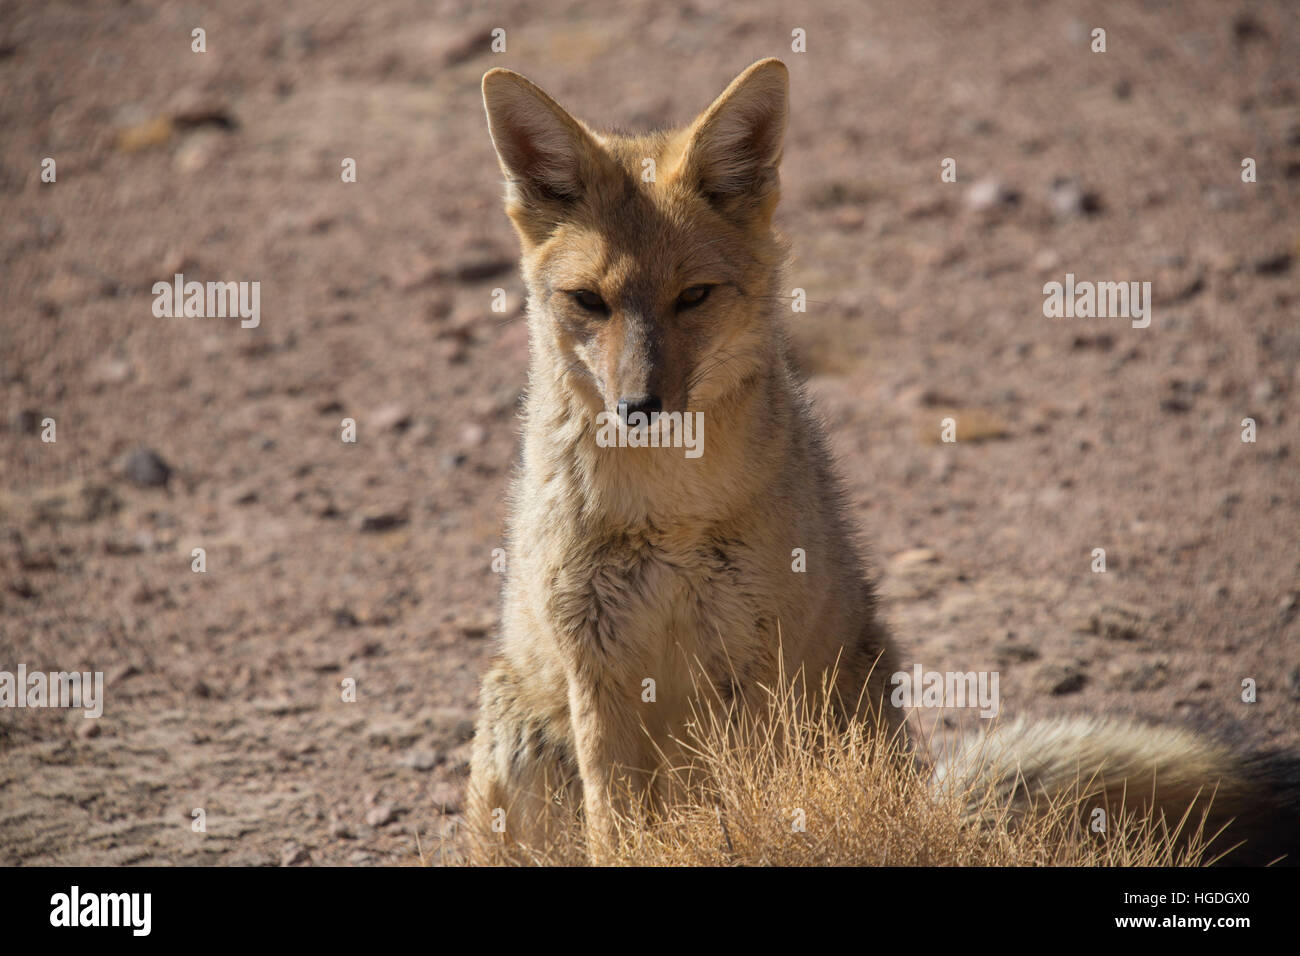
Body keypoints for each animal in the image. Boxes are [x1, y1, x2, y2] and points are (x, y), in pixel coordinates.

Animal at [466, 58, 1298, 865]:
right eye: (590, 301)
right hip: (521, 730)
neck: (667, 511)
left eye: (694, 296)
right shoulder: (598, 670)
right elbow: (616, 830)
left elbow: (745, 803)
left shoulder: (752, 665)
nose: (641, 409)